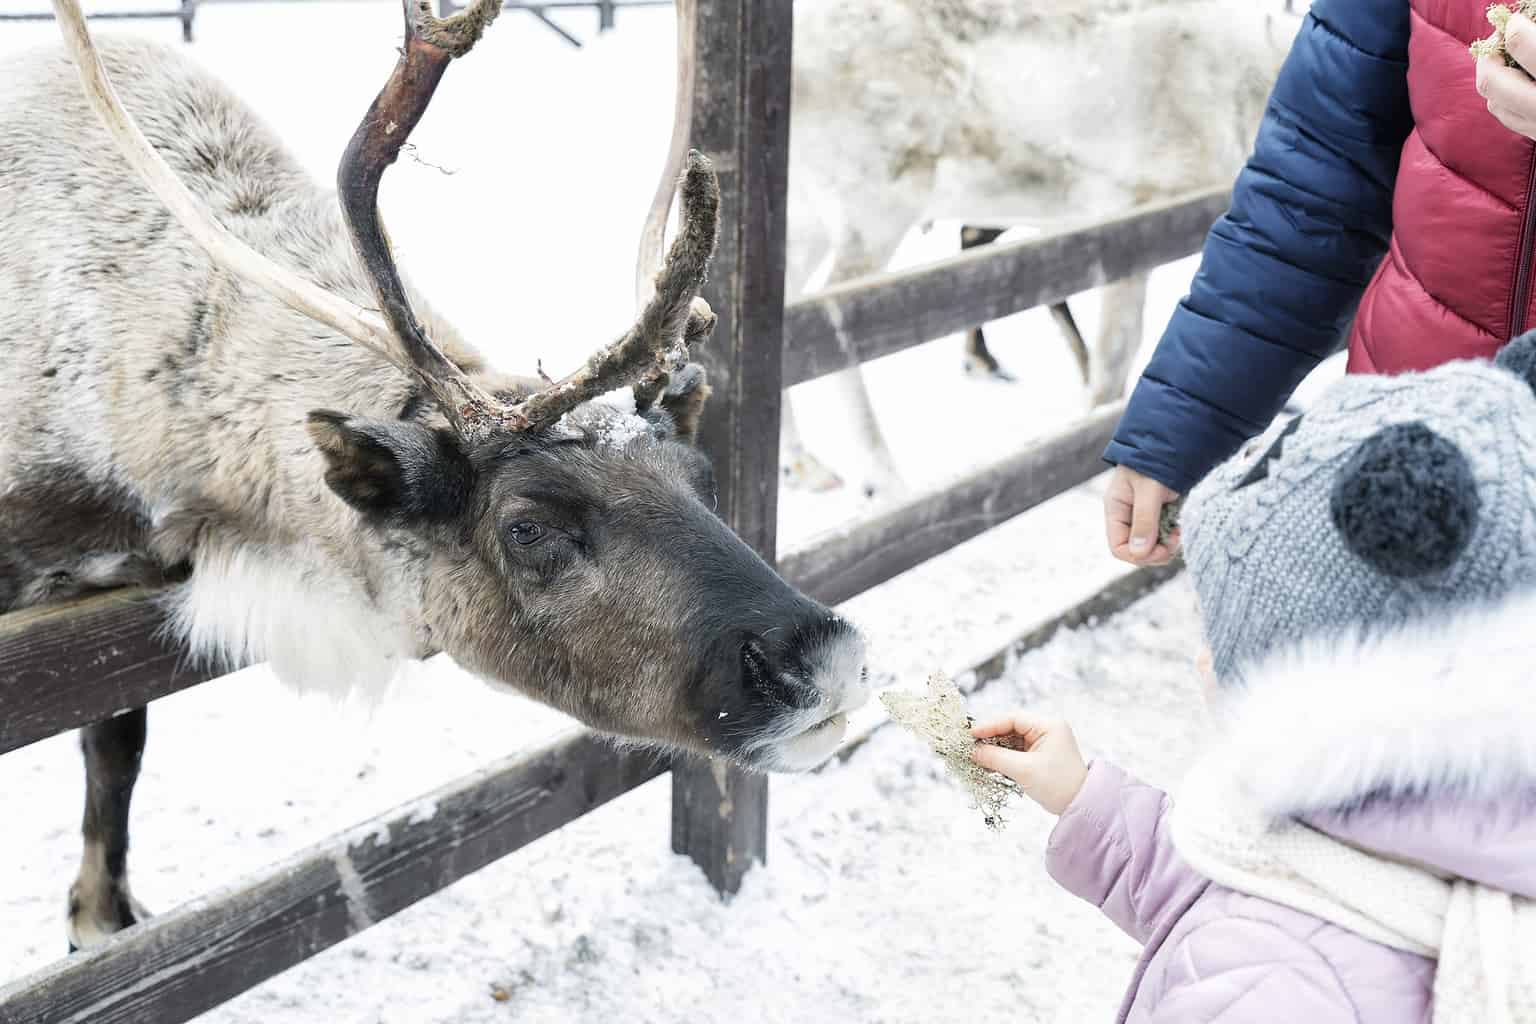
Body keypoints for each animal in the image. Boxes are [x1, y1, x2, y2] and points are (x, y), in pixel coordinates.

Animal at [1, 0, 870, 952]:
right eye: (527, 527)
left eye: (702, 475)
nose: (823, 660)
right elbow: (110, 737)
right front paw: (98, 917)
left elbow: (118, 741)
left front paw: (100, 913)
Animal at [769, 0, 1300, 497]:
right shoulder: (1140, 216)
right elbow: (1115, 357)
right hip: (875, 207)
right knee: (837, 323)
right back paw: (884, 481)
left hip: (808, 218)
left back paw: (803, 465)